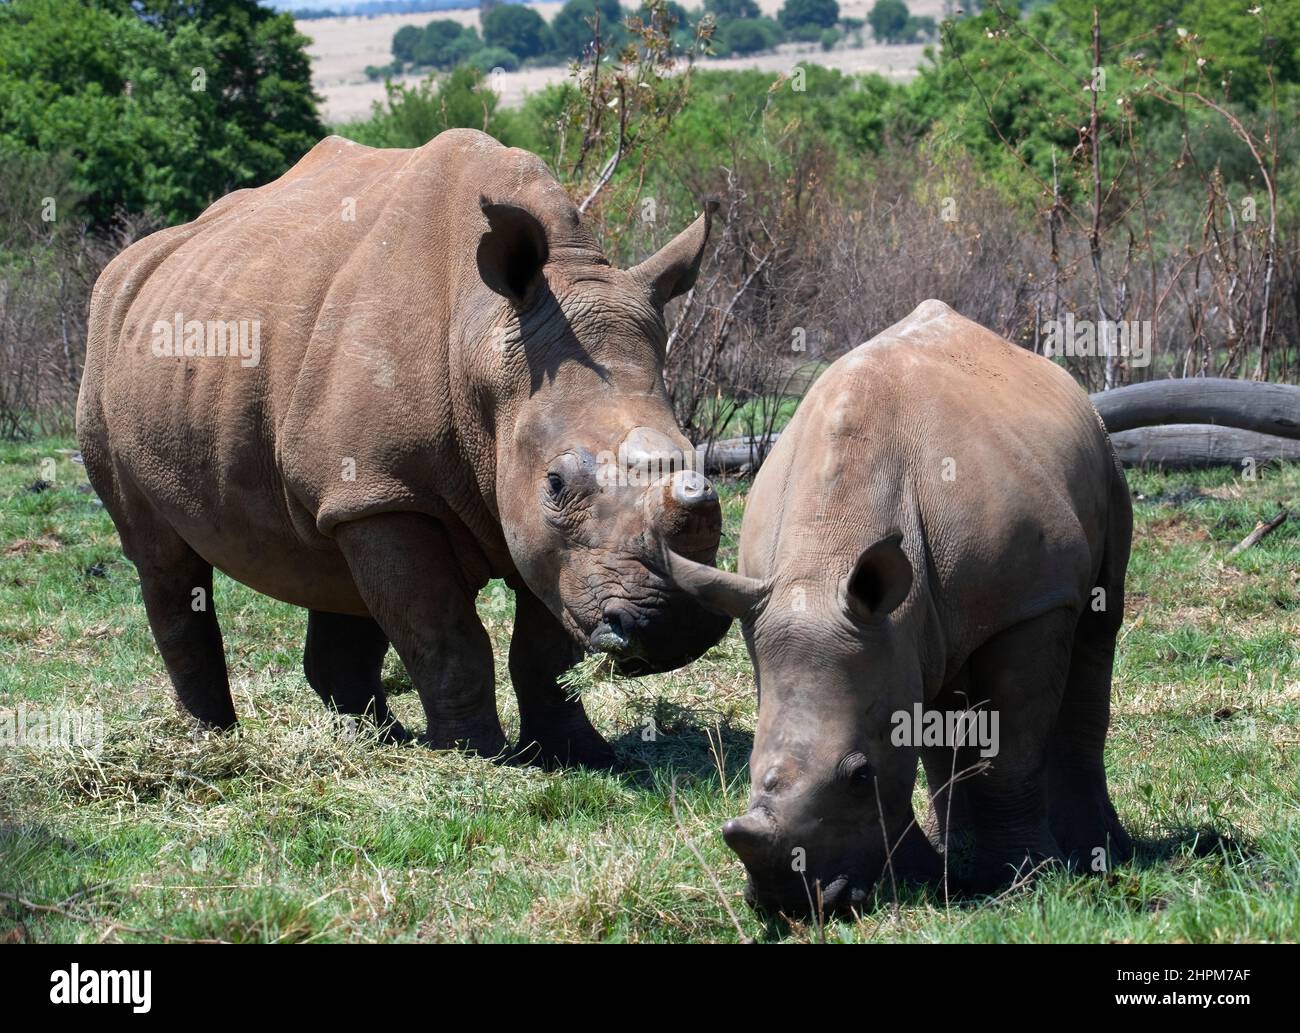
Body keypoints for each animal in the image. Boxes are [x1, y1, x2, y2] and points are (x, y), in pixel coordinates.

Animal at [77, 129, 731, 768]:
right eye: (557, 482)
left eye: (697, 456)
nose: (679, 628)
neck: (485, 341)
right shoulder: (391, 491)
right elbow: (445, 636)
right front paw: (474, 758)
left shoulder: (513, 515)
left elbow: (544, 643)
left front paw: (583, 756)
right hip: (108, 342)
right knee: (162, 560)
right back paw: (212, 740)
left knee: (334, 564)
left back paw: (377, 742)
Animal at [667, 300, 1133, 913]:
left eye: (860, 775)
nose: (789, 905)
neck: (824, 562)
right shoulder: (782, 609)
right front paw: (927, 875)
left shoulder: (1031, 605)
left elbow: (1012, 749)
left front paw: (1028, 881)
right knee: (938, 679)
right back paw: (954, 852)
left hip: (1104, 459)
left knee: (1097, 634)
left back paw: (1099, 851)